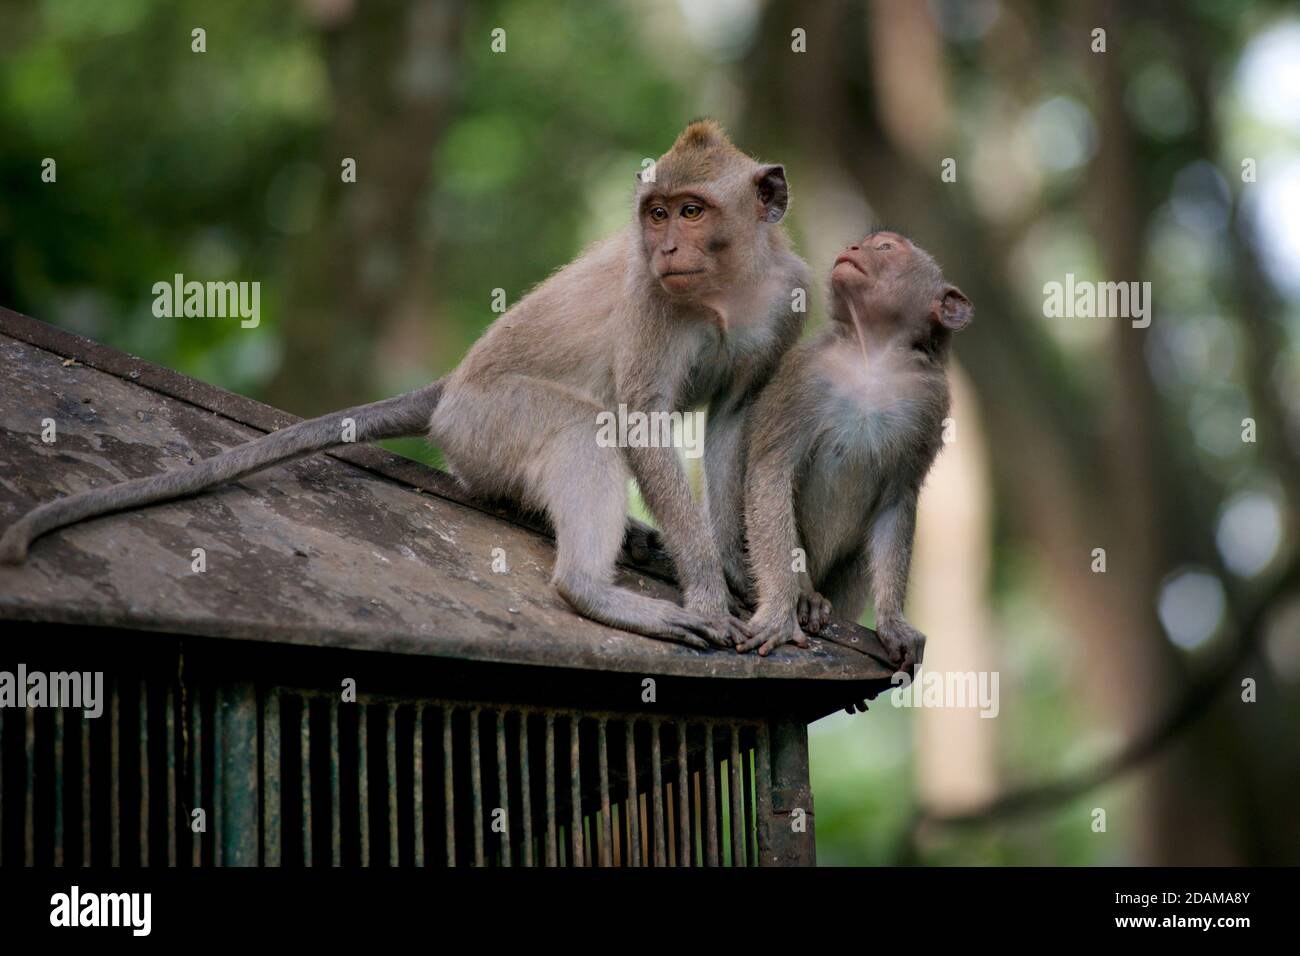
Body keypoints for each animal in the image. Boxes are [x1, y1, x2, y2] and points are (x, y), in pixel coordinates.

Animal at [0, 121, 811, 652]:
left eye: (693, 210)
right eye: (657, 213)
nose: (666, 246)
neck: (725, 290)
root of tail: (450, 388)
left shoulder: (787, 296)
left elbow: (736, 423)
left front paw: (752, 580)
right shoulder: (650, 294)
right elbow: (639, 419)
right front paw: (708, 589)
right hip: (486, 423)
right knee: (584, 428)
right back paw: (589, 587)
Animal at [735, 231, 972, 670]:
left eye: (887, 248)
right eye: (868, 242)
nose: (854, 248)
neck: (873, 356)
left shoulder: (931, 401)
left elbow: (898, 499)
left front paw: (892, 622)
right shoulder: (805, 372)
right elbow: (770, 472)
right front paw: (778, 611)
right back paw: (807, 596)